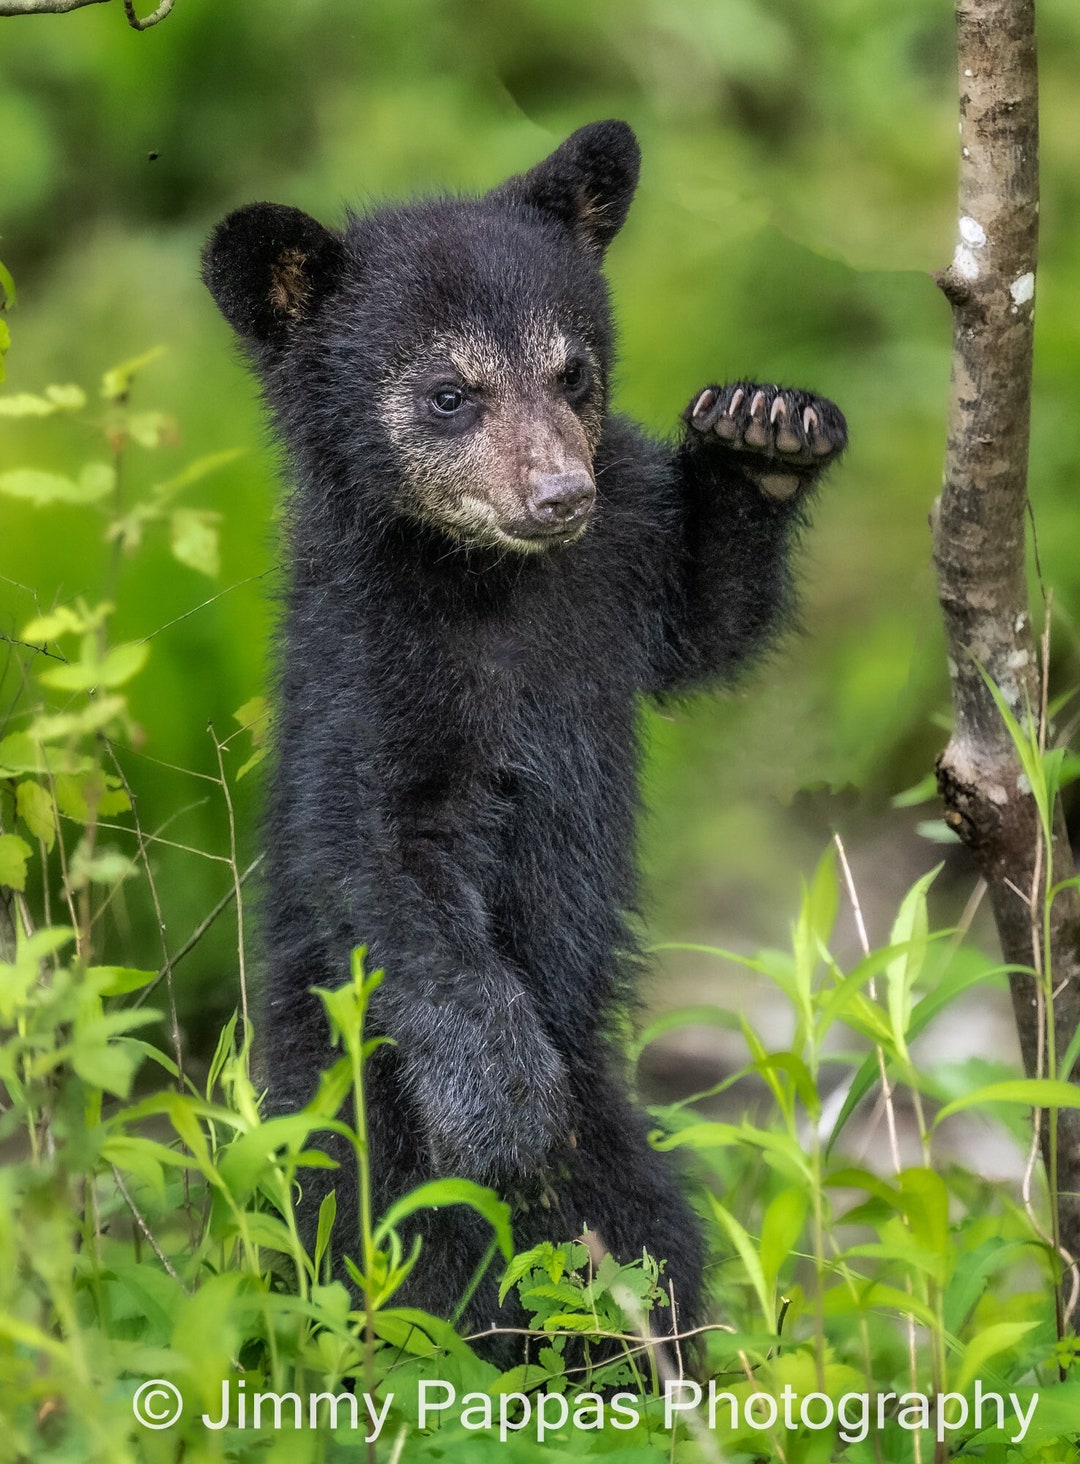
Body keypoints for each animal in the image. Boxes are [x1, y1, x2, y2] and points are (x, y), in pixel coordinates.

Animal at [201, 119, 846, 1358]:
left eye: (571, 372)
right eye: (451, 394)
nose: (557, 495)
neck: (491, 586)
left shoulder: (620, 563)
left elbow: (709, 623)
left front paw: (765, 434)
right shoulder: (372, 668)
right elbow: (383, 855)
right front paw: (501, 1098)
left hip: (619, 1146)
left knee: (656, 1244)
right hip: (348, 1123)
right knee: (378, 1262)